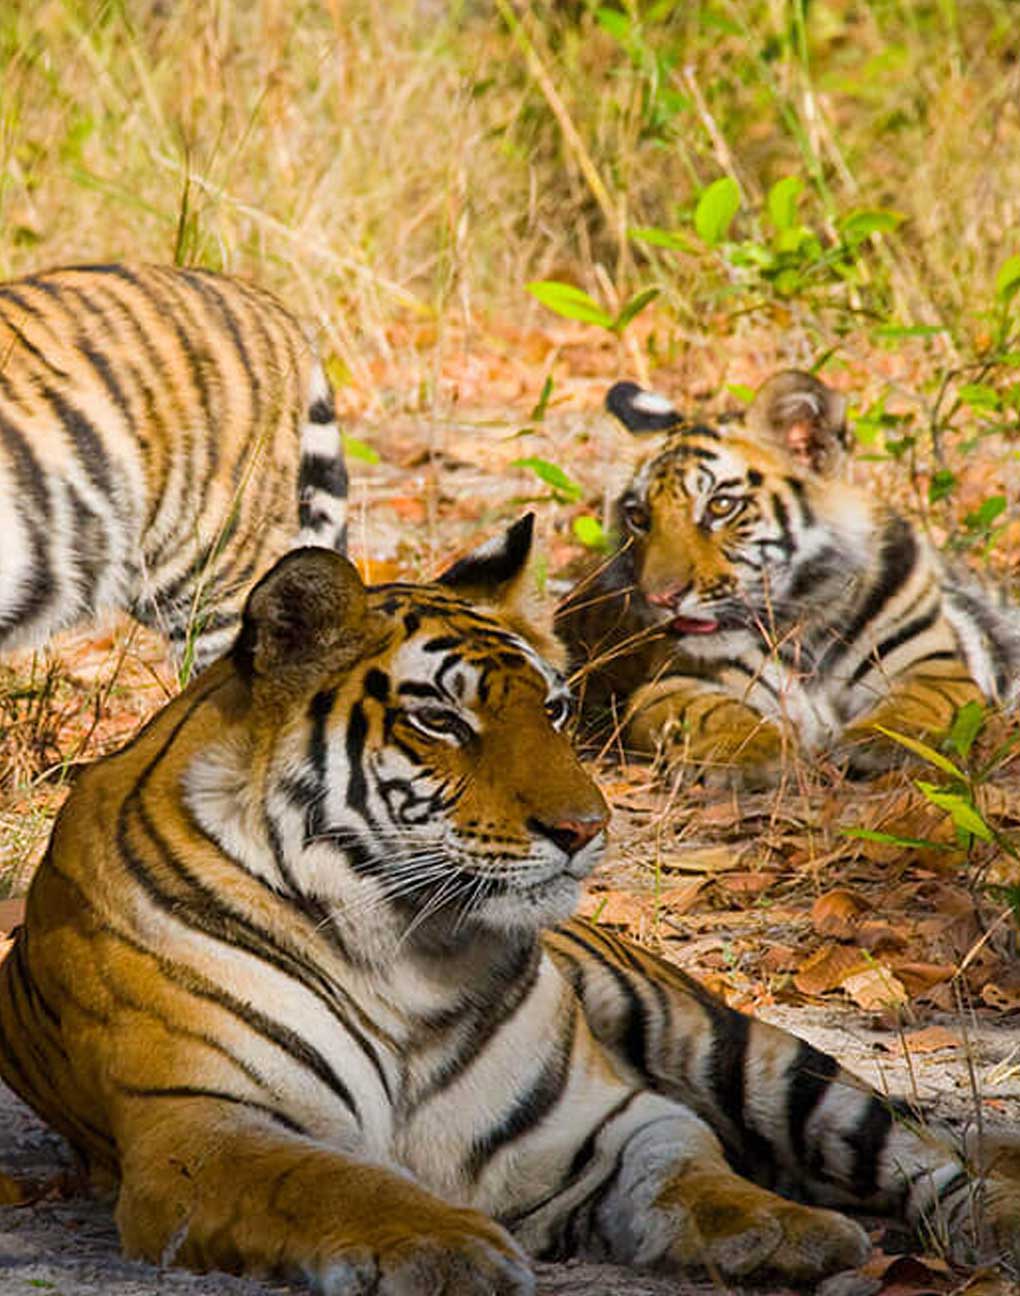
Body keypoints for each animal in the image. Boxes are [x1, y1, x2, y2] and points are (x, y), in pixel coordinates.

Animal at [0, 515, 1016, 1294]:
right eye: (441, 721)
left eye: (554, 711)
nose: (586, 826)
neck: (403, 951)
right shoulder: (210, 1126)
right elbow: (337, 1184)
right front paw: (445, 1245)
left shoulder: (607, 1121)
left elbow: (693, 1176)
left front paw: (779, 1229)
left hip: (739, 1047)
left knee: (920, 1149)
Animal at [556, 370, 1020, 786]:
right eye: (638, 517)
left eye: (721, 506)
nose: (660, 599)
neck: (808, 620)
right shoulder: (675, 682)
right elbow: (709, 714)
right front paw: (748, 753)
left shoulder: (933, 664)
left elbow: (918, 703)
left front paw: (880, 742)